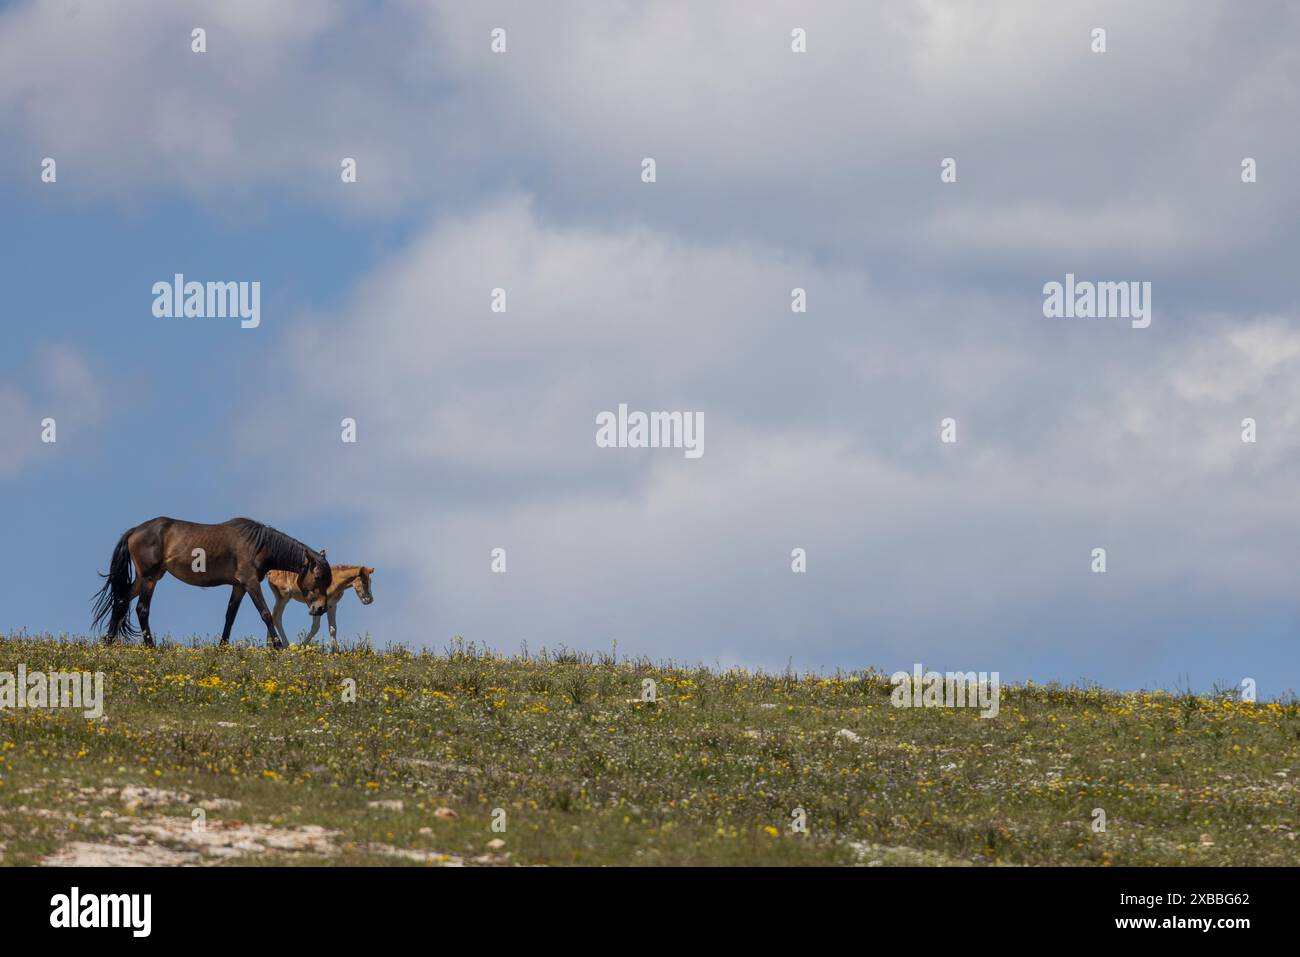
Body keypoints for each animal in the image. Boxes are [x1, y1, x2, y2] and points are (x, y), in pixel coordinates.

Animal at [91, 517, 332, 650]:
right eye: (319, 577)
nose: (321, 608)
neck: (260, 544)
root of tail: (135, 530)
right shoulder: (251, 582)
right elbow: (265, 614)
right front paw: (278, 646)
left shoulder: (239, 586)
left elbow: (230, 616)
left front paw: (222, 646)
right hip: (150, 579)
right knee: (142, 609)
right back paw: (151, 646)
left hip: (143, 578)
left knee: (120, 601)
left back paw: (108, 641)